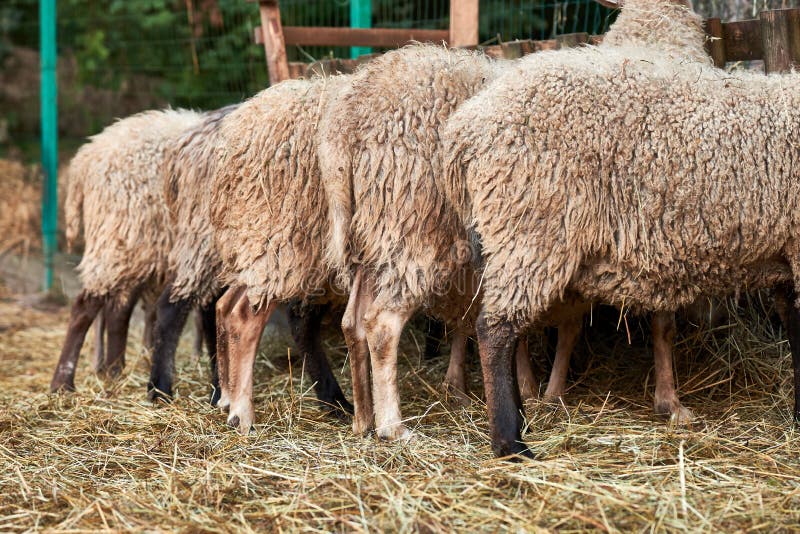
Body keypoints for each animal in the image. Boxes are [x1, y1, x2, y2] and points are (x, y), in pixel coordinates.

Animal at [50, 109, 204, 392]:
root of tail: (87, 157)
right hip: (124, 236)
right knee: (88, 305)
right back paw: (65, 382)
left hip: (133, 249)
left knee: (118, 308)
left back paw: (114, 370)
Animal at [209, 76, 354, 433]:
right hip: (281, 245)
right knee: (248, 316)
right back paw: (243, 415)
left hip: (259, 246)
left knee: (225, 305)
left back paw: (227, 398)